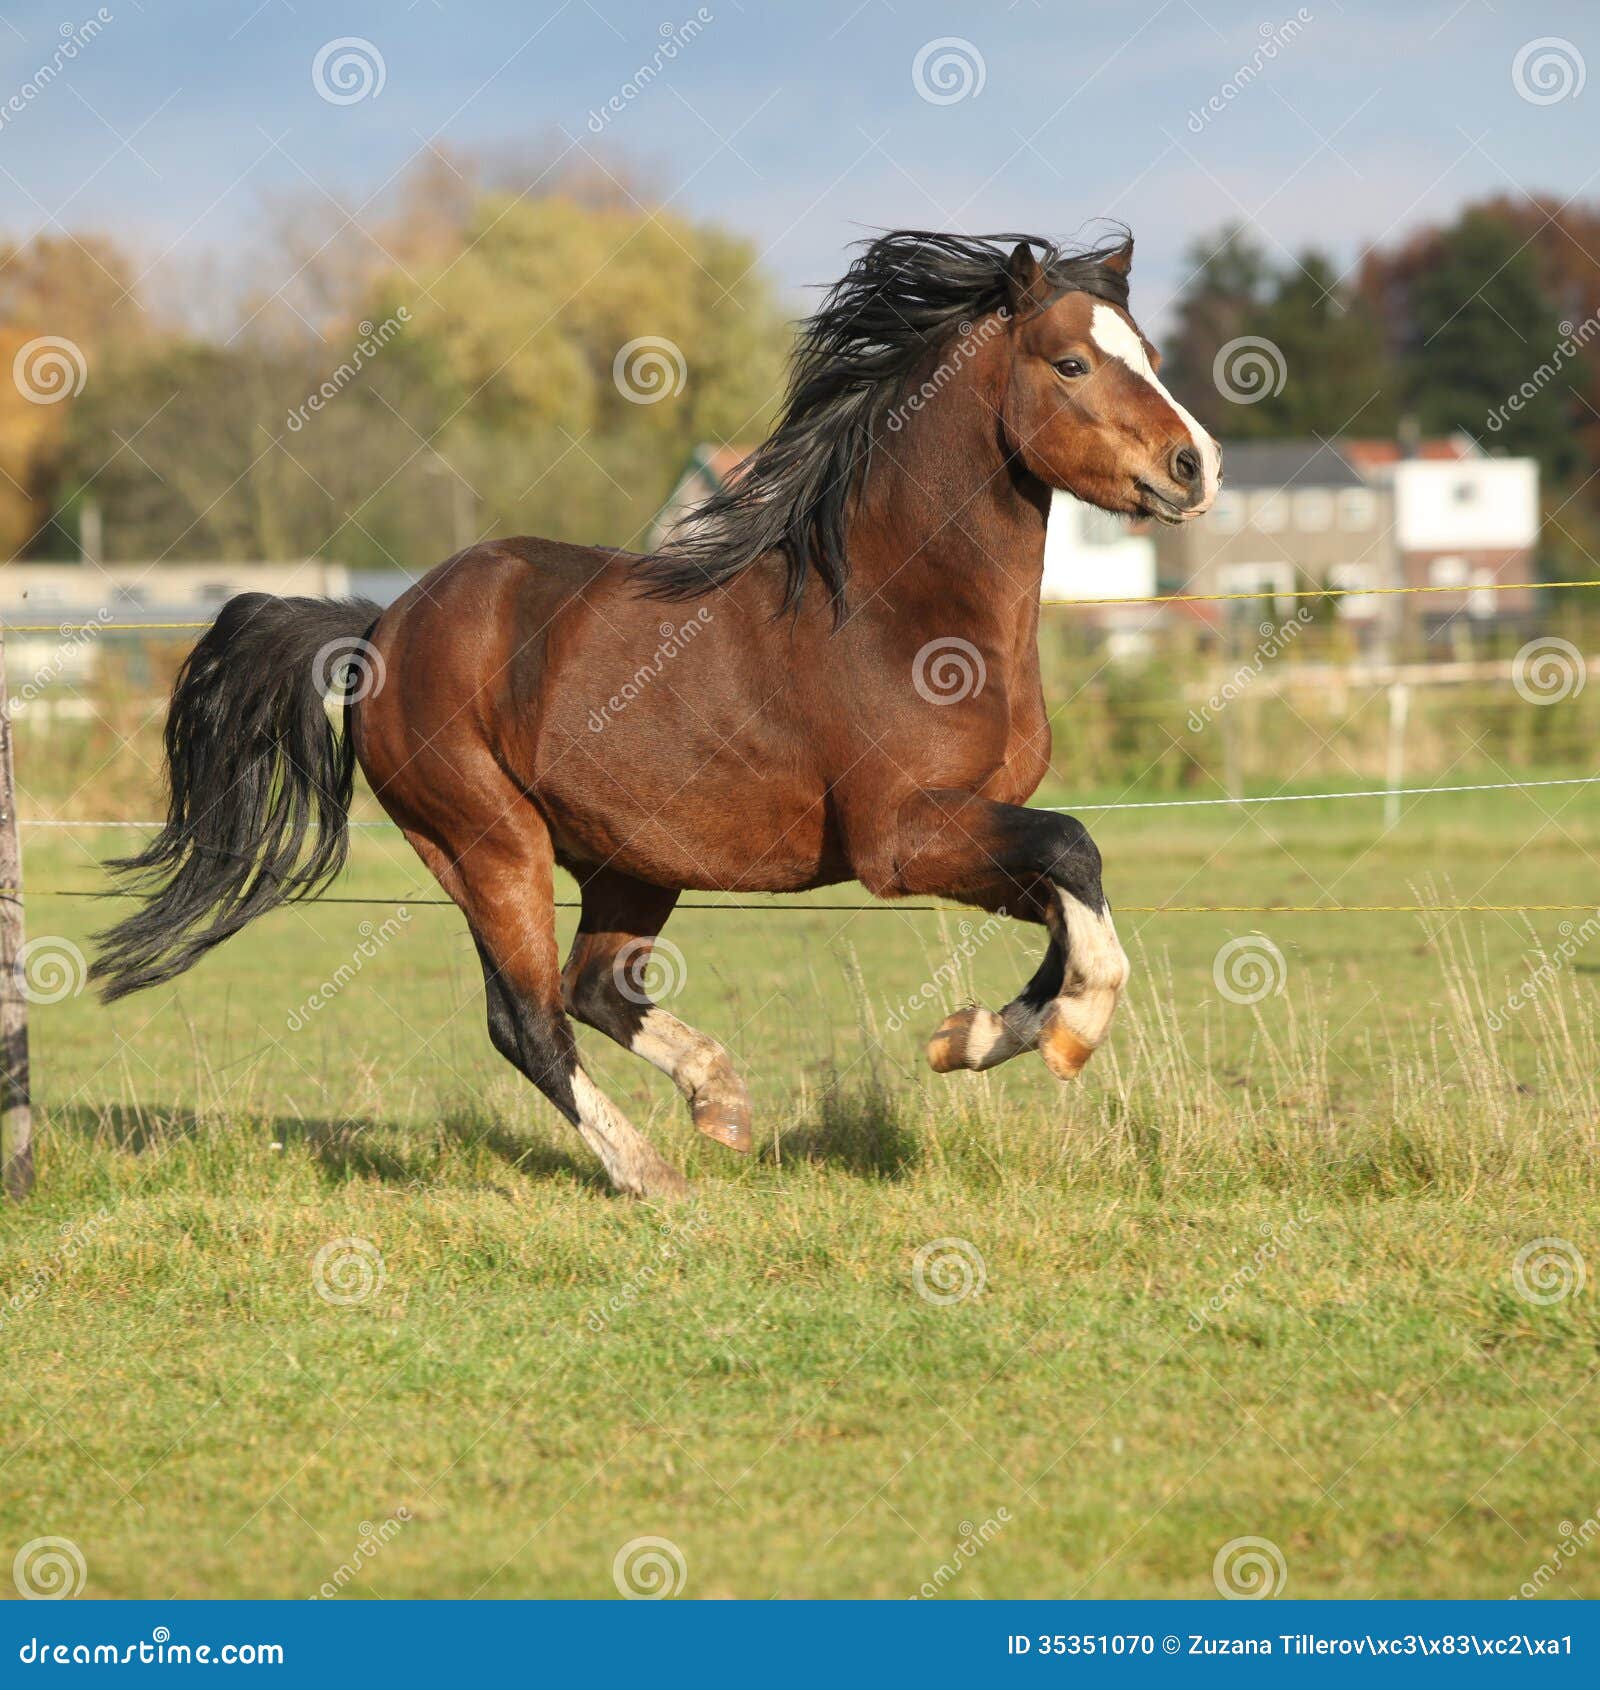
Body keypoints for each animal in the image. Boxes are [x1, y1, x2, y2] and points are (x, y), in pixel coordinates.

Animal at [91, 229, 1220, 1199]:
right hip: (484, 841)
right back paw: (650, 1172)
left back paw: (719, 1100)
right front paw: (1066, 1032)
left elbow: (1064, 904)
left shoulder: (969, 828)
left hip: (634, 856)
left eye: (1153, 353)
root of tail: (379, 626)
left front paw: (970, 1036)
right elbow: (1074, 855)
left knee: (595, 987)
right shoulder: (900, 839)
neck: (903, 612)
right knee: (528, 1017)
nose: (1195, 466)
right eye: (1071, 363)